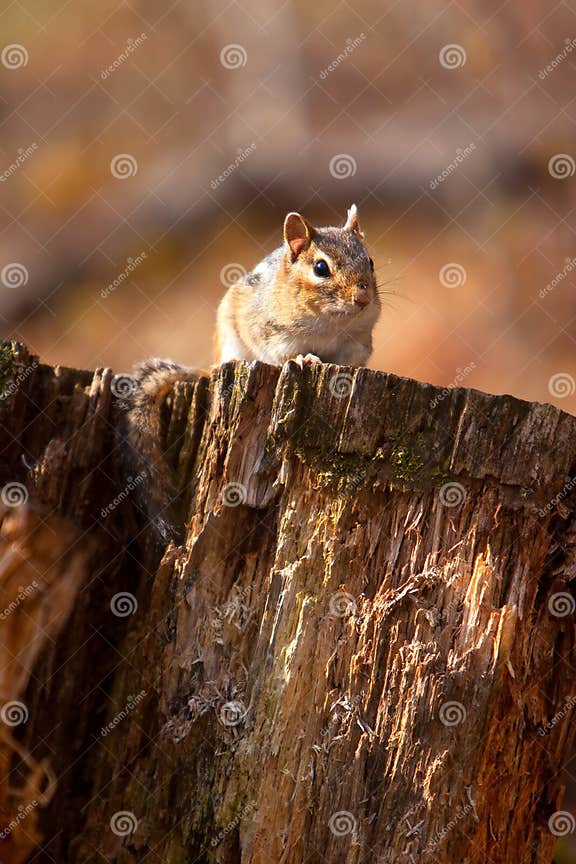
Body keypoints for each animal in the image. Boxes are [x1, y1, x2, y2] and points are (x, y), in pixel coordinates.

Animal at [116, 204, 380, 540]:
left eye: (370, 261)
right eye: (321, 268)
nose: (363, 299)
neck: (331, 324)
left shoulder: (358, 343)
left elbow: (352, 359)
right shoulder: (271, 332)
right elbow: (285, 353)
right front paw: (305, 357)